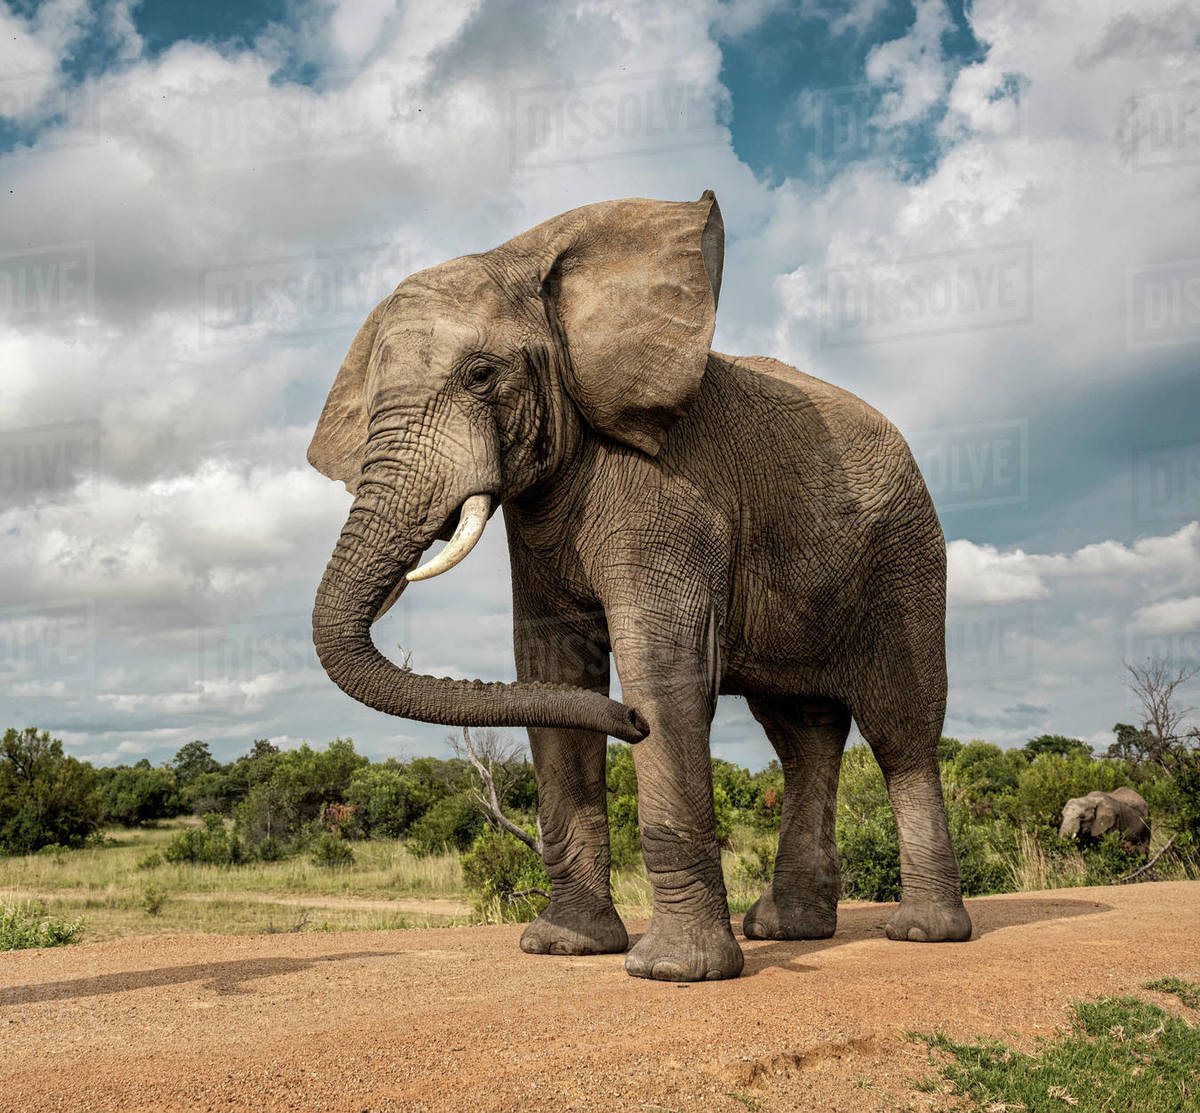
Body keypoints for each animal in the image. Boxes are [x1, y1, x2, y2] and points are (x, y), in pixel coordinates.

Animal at [308, 190, 972, 982]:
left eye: (480, 375)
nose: (628, 722)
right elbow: (554, 669)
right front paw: (564, 945)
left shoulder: (672, 488)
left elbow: (662, 661)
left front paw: (675, 973)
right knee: (802, 735)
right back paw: (789, 930)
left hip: (907, 557)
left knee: (902, 730)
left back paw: (924, 933)